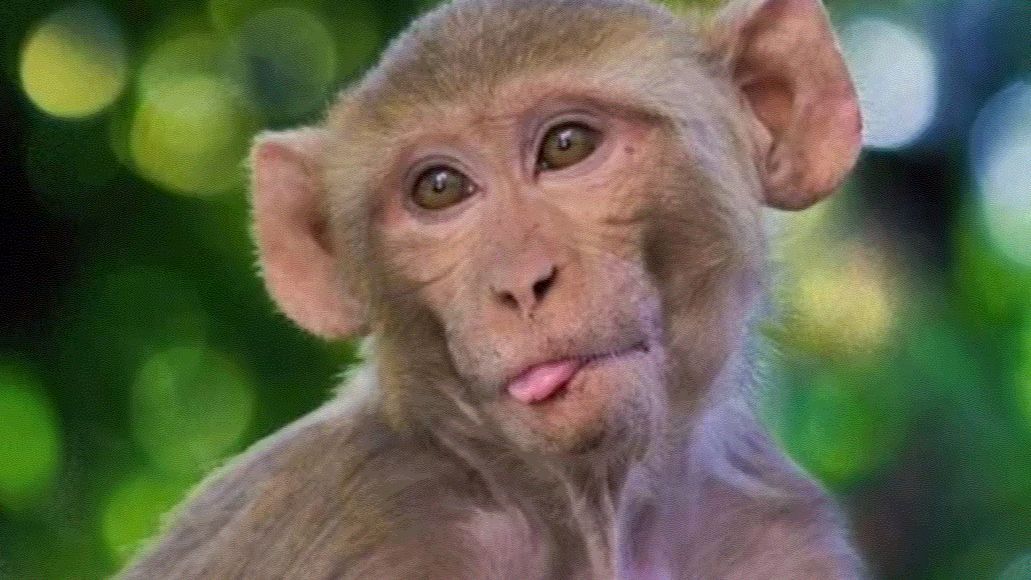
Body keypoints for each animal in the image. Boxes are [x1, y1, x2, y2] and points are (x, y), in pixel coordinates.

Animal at [122, 0, 865, 577]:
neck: (593, 510)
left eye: (566, 145)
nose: (520, 283)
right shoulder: (365, 521)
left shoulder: (779, 537)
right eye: (439, 188)